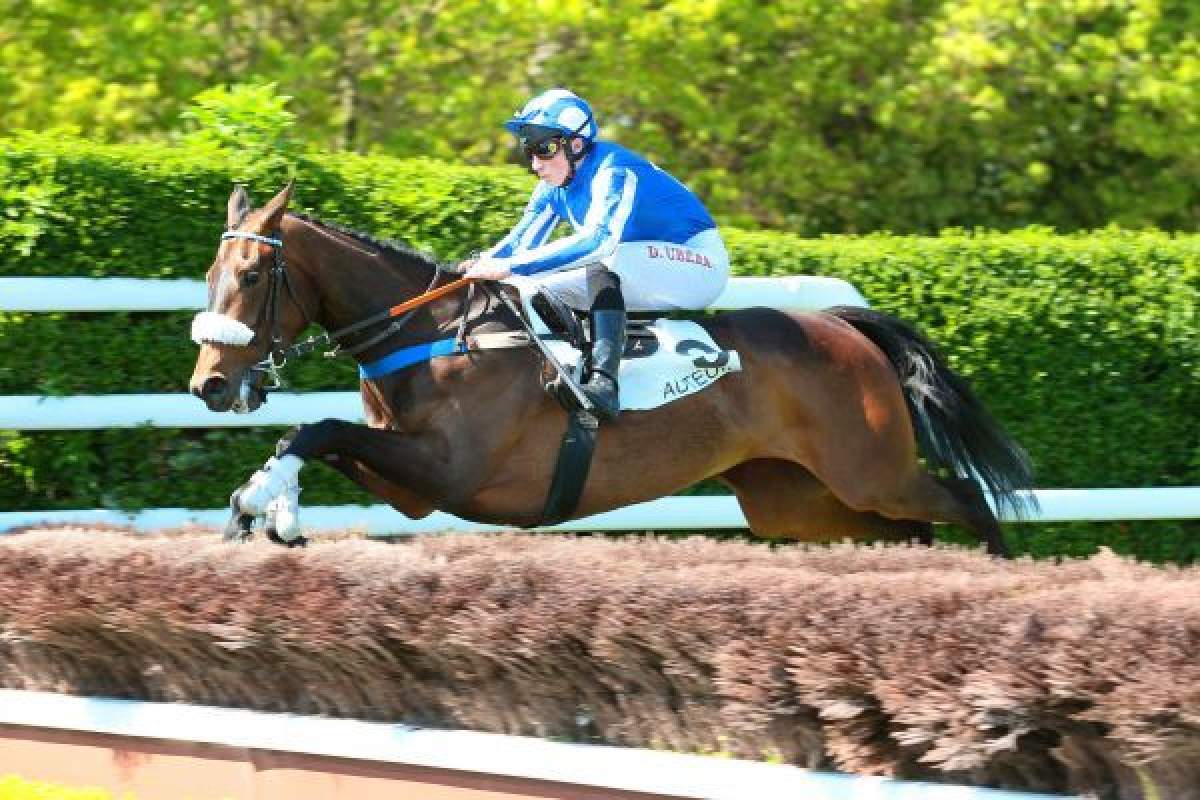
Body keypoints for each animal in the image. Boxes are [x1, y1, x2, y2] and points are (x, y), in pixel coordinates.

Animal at [189, 183, 1035, 556]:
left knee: (966, 500)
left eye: (254, 278)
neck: (430, 333)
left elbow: (316, 425)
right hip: (797, 499)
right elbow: (316, 433)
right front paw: (266, 504)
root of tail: (841, 326)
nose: (209, 385)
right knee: (911, 528)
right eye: (209, 273)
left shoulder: (450, 470)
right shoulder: (416, 489)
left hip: (868, 472)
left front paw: (266, 503)